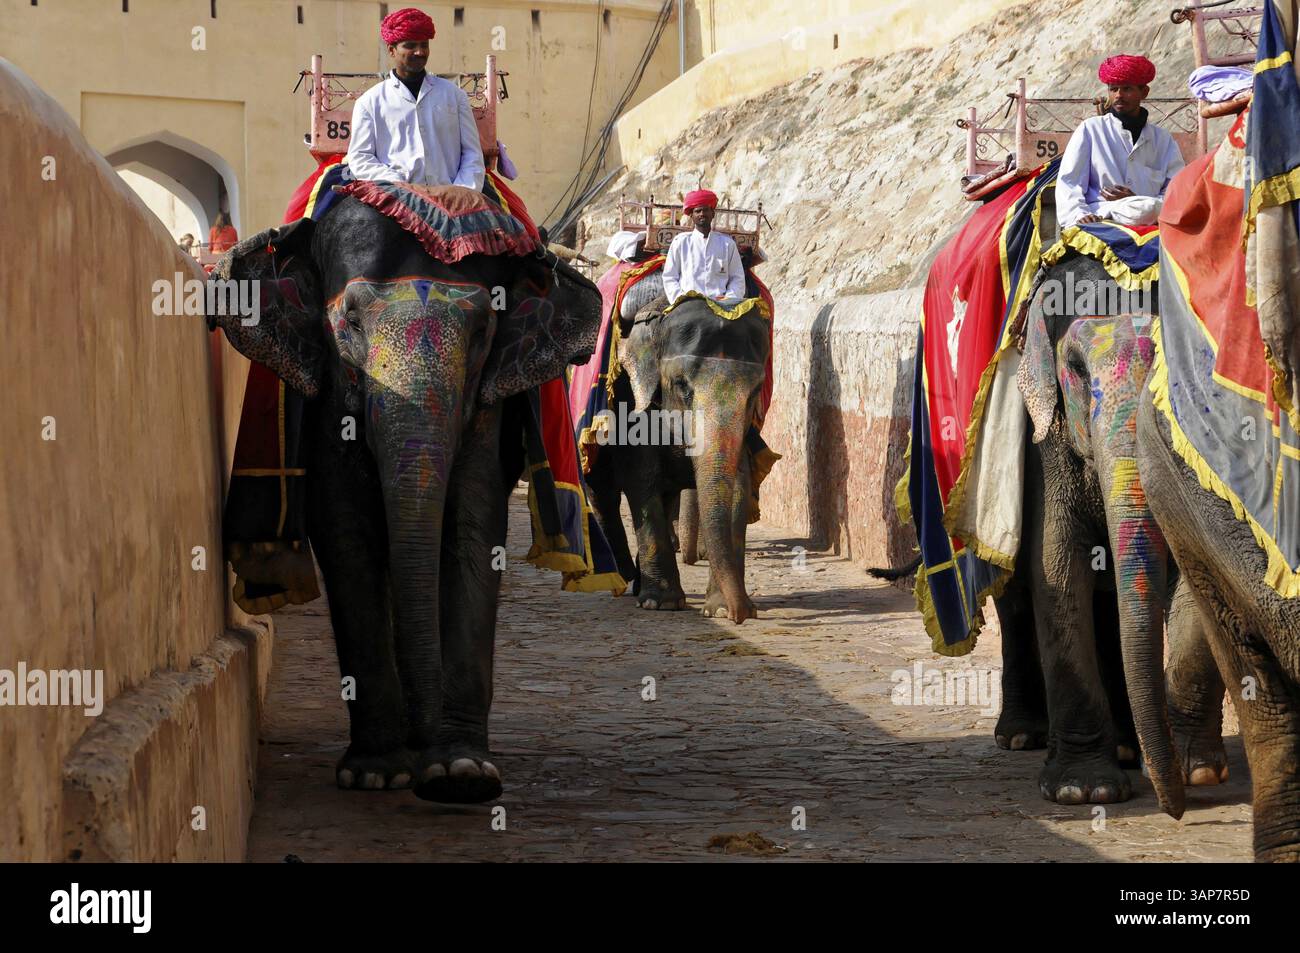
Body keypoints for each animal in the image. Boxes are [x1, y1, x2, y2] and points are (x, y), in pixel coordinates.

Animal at [206, 194, 602, 803]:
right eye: (349, 322)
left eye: (483, 330)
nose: (428, 769)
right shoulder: (330, 392)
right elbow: (346, 530)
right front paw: (376, 773)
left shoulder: (486, 404)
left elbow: (472, 525)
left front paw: (462, 774)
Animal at [585, 290, 771, 623]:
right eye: (682, 385)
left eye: (755, 391)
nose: (741, 614)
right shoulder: (633, 401)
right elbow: (641, 480)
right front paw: (661, 604)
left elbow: (739, 485)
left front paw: (719, 608)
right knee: (602, 493)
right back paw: (624, 581)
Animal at [993, 254, 1183, 816]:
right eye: (1076, 370)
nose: (1173, 807)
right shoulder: (1044, 442)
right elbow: (1055, 564)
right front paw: (1083, 791)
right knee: (1014, 597)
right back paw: (1020, 736)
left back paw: (1126, 748)